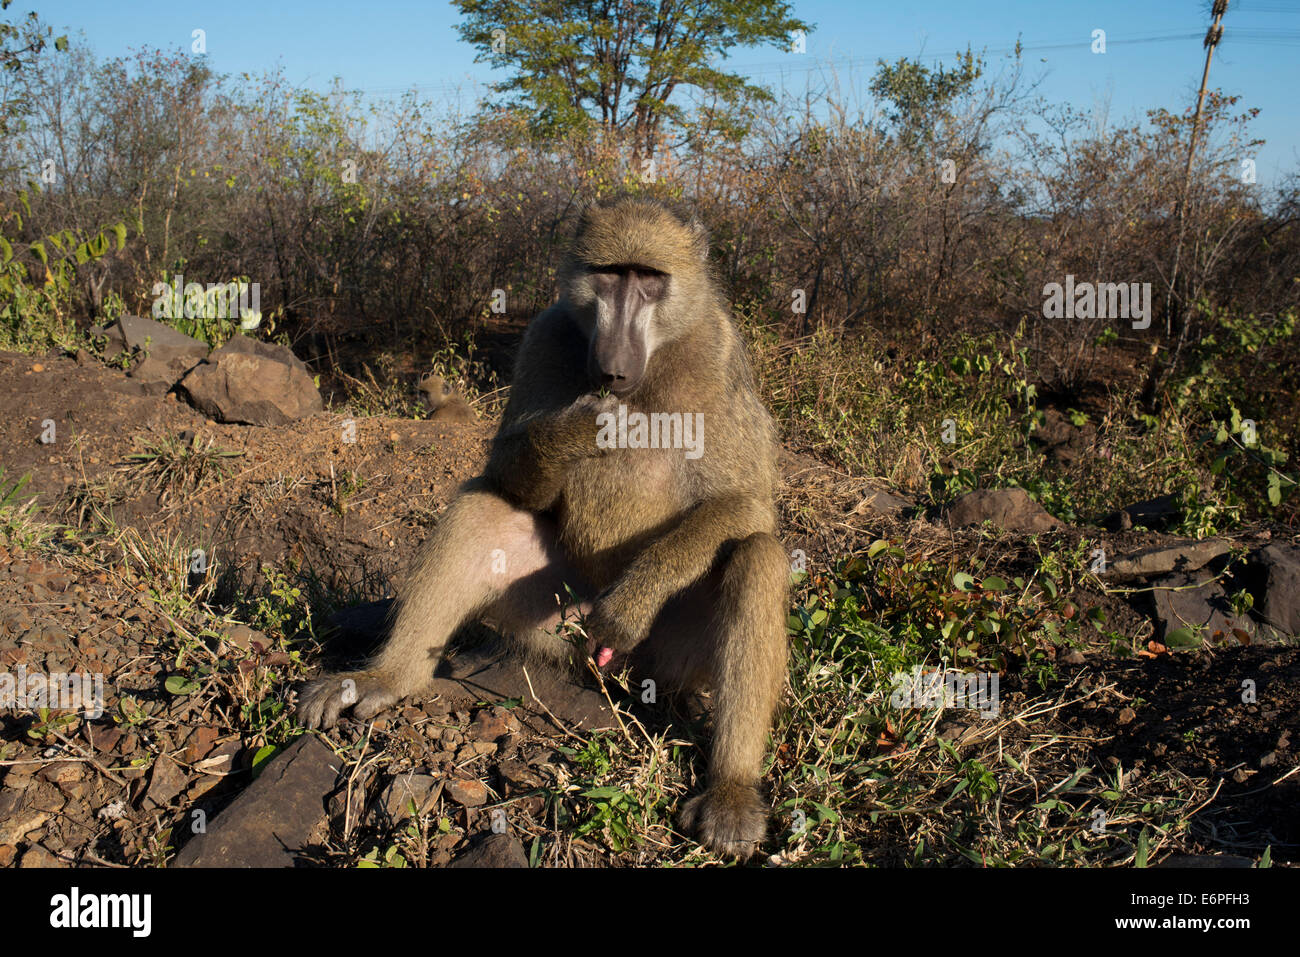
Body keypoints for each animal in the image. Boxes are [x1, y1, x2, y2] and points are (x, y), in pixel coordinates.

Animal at [299, 196, 789, 860]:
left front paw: (631, 603)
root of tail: (619, 674)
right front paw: (579, 427)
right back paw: (384, 679)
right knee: (485, 505)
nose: (612, 369)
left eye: (650, 279)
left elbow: (748, 505)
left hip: (668, 657)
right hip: (556, 618)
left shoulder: (720, 355)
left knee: (757, 555)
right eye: (609, 274)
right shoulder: (545, 334)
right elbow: (506, 473)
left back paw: (731, 790)